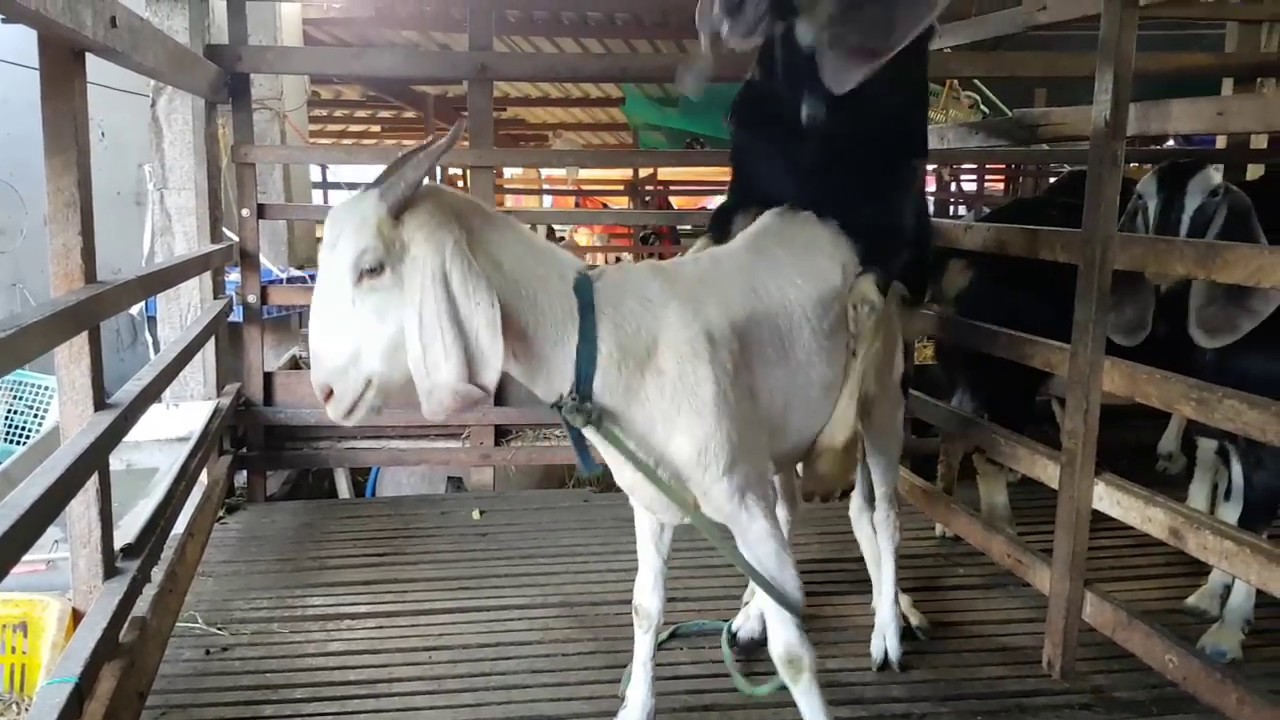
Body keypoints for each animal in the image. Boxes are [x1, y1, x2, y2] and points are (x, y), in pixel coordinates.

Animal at [307, 122, 913, 720]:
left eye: (371, 268)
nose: (326, 391)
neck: (602, 342)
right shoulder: (650, 494)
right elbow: (646, 607)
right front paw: (637, 704)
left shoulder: (738, 491)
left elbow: (793, 655)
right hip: (783, 432)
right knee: (791, 513)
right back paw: (751, 617)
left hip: (882, 397)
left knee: (880, 515)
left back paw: (887, 633)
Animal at [1108, 159, 1280, 664]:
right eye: (1140, 196)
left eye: (1214, 195)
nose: (1162, 263)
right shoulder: (1239, 419)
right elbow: (1237, 513)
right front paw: (1213, 595)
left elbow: (1250, 524)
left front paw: (1227, 630)